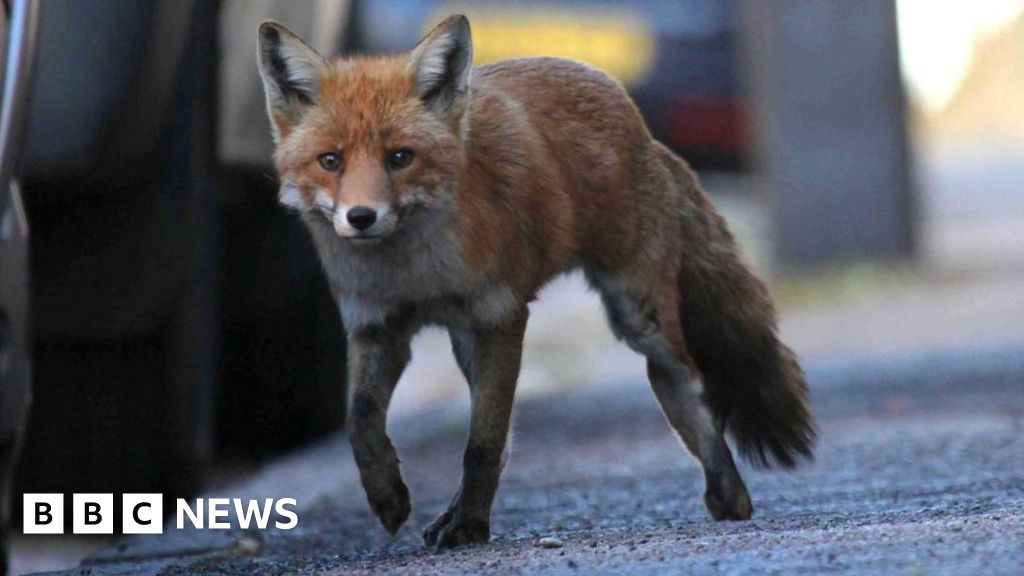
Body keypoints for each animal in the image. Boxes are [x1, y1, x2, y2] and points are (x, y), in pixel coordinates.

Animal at [256, 15, 814, 548]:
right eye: (331, 161)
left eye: (400, 157)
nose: (361, 217)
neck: (416, 275)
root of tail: (642, 128)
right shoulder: (378, 327)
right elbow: (362, 423)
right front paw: (387, 495)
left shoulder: (501, 317)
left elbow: (481, 443)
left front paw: (470, 527)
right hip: (470, 344)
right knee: (509, 433)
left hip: (639, 320)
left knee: (688, 392)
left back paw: (730, 494)